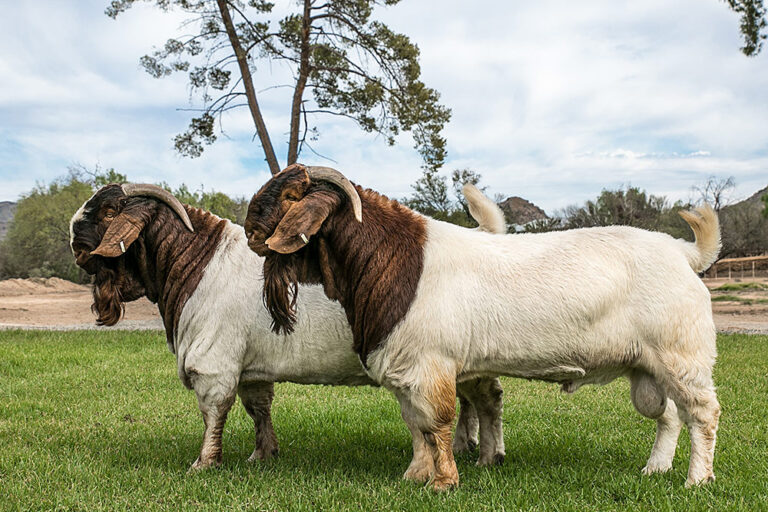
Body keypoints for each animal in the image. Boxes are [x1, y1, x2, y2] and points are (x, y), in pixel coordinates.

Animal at [69, 182, 506, 472]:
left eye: (108, 212)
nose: (73, 235)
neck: (196, 261)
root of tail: (483, 235)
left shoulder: (215, 363)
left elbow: (214, 413)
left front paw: (204, 465)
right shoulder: (251, 366)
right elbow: (258, 408)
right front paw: (263, 455)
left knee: (482, 397)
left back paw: (482, 453)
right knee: (481, 396)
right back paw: (475, 449)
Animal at [244, 164, 721, 491]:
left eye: (291, 194)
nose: (248, 229)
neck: (393, 260)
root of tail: (684, 253)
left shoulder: (431, 364)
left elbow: (436, 423)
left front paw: (443, 483)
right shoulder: (404, 368)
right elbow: (415, 426)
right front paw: (414, 476)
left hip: (684, 355)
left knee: (703, 413)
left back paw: (696, 480)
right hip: (649, 367)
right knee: (669, 415)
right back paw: (655, 468)